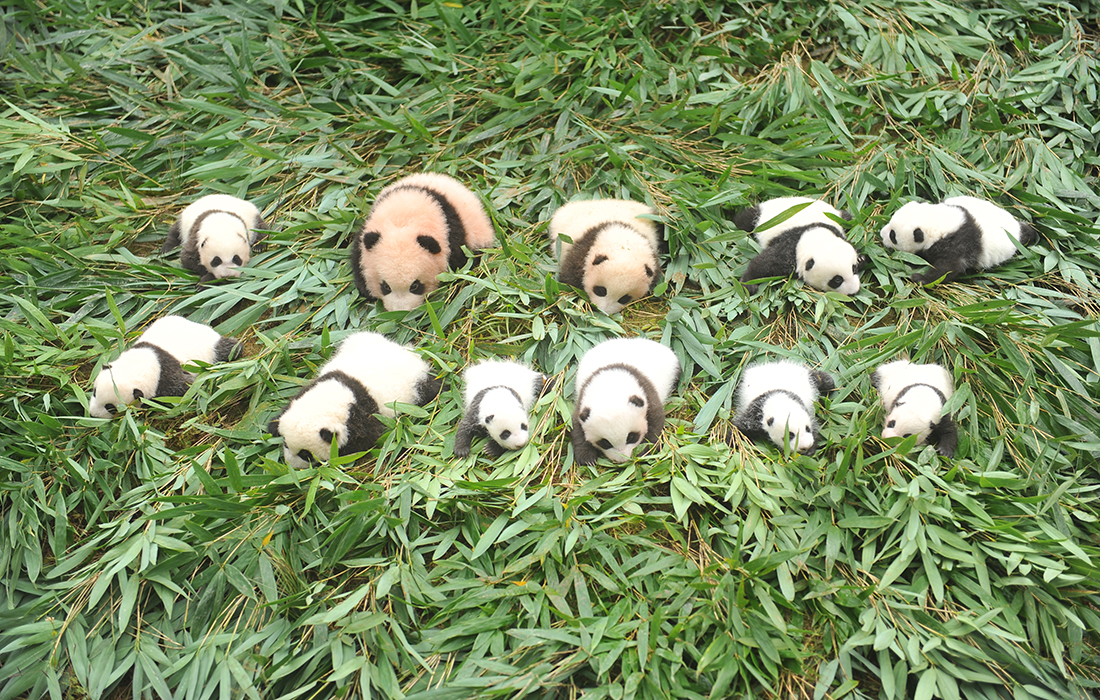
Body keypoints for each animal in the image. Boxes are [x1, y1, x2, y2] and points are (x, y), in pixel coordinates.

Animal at [89, 315, 243, 419]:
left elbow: (187, 388)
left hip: (211, 350)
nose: (92, 415)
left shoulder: (166, 376)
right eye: (95, 392)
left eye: (110, 407)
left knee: (226, 349)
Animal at [267, 332, 442, 469]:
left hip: (417, 386)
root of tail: (410, 353)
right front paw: (273, 426)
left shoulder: (363, 419)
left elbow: (363, 443)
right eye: (285, 443)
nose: (292, 465)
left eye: (306, 455)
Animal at [733, 196, 867, 296]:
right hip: (759, 218)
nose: (854, 291)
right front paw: (748, 285)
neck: (814, 237)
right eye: (837, 280)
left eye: (854, 269)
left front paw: (861, 258)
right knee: (744, 220)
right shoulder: (790, 249)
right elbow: (763, 264)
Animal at [880, 195, 1037, 285]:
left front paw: (920, 278)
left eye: (893, 235)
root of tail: (1016, 227)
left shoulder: (959, 243)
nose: (881, 234)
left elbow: (949, 267)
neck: (940, 221)